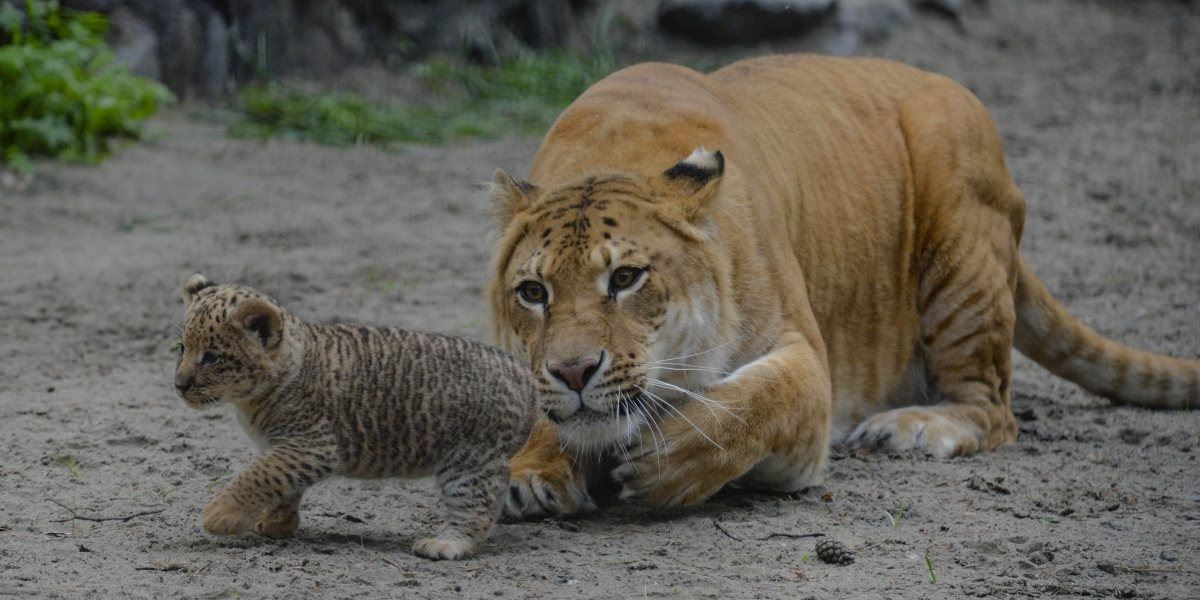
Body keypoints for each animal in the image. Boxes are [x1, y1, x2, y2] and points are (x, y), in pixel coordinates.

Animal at [485, 54, 1200, 519]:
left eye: (627, 278)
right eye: (533, 293)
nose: (574, 371)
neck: (618, 149)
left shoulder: (807, 360)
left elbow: (755, 404)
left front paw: (667, 460)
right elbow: (538, 408)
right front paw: (532, 471)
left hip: (959, 236)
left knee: (994, 407)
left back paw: (908, 429)